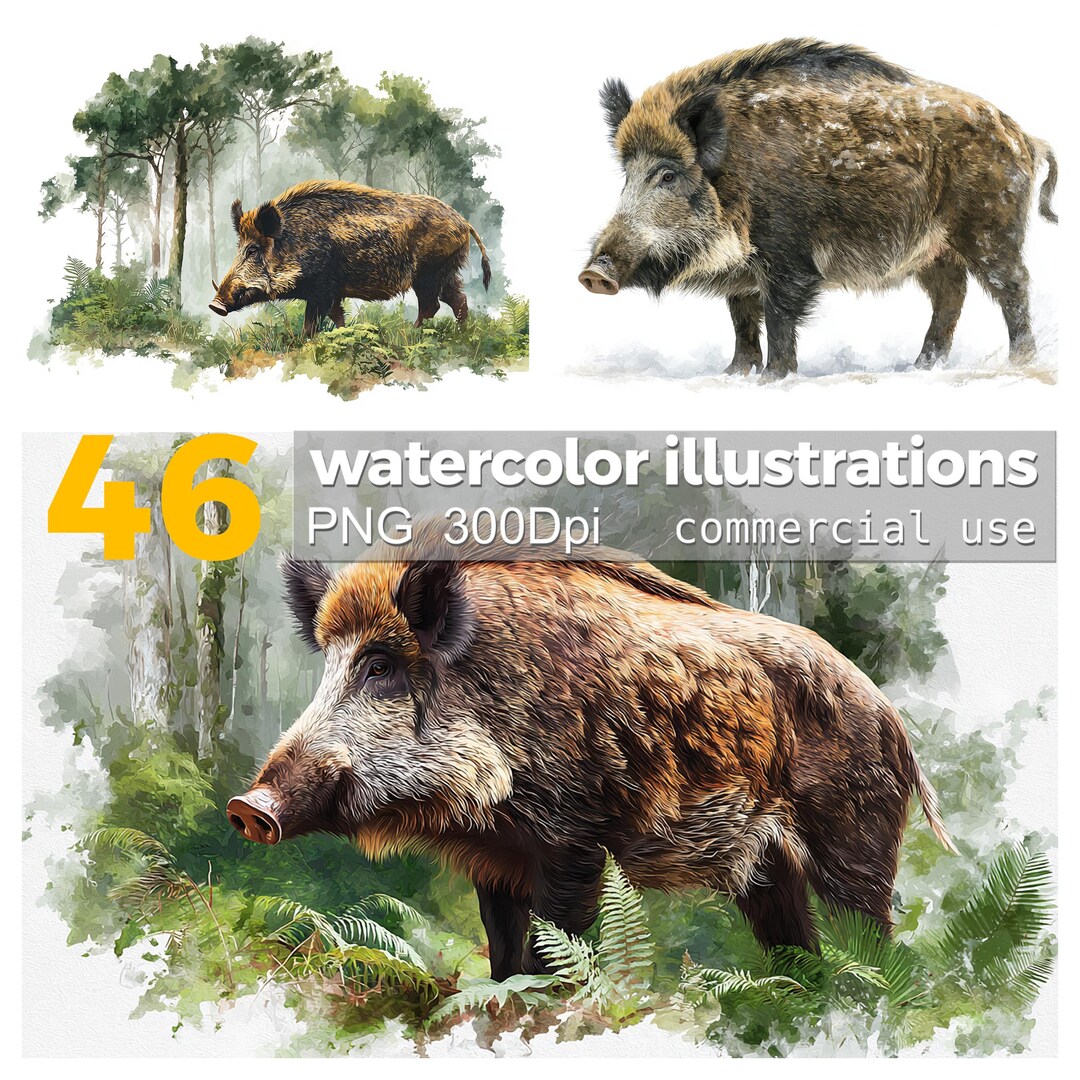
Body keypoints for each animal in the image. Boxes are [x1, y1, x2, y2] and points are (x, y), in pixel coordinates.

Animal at [209, 180, 492, 337]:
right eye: (239, 246)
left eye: (253, 250)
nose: (215, 305)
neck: (297, 242)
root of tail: (464, 222)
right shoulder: (332, 292)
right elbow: (338, 318)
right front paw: (343, 336)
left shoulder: (322, 289)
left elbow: (312, 324)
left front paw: (303, 344)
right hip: (445, 272)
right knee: (458, 300)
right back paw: (458, 335)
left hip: (429, 273)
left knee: (433, 305)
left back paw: (412, 334)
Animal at [227, 527, 953, 978]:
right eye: (328, 663)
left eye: (380, 665)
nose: (246, 806)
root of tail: (893, 720)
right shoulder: (497, 859)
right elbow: (504, 959)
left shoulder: (574, 840)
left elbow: (557, 953)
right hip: (769, 871)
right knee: (798, 955)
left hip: (855, 844)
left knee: (872, 942)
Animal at [579, 38, 1058, 378]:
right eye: (626, 174)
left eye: (667, 174)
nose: (594, 273)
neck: (734, 176)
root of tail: (1026, 137)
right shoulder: (742, 271)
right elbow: (741, 318)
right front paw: (732, 374)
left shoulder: (788, 257)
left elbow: (778, 316)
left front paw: (774, 378)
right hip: (932, 250)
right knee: (951, 295)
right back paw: (921, 367)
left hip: (991, 229)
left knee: (1012, 288)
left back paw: (1019, 364)